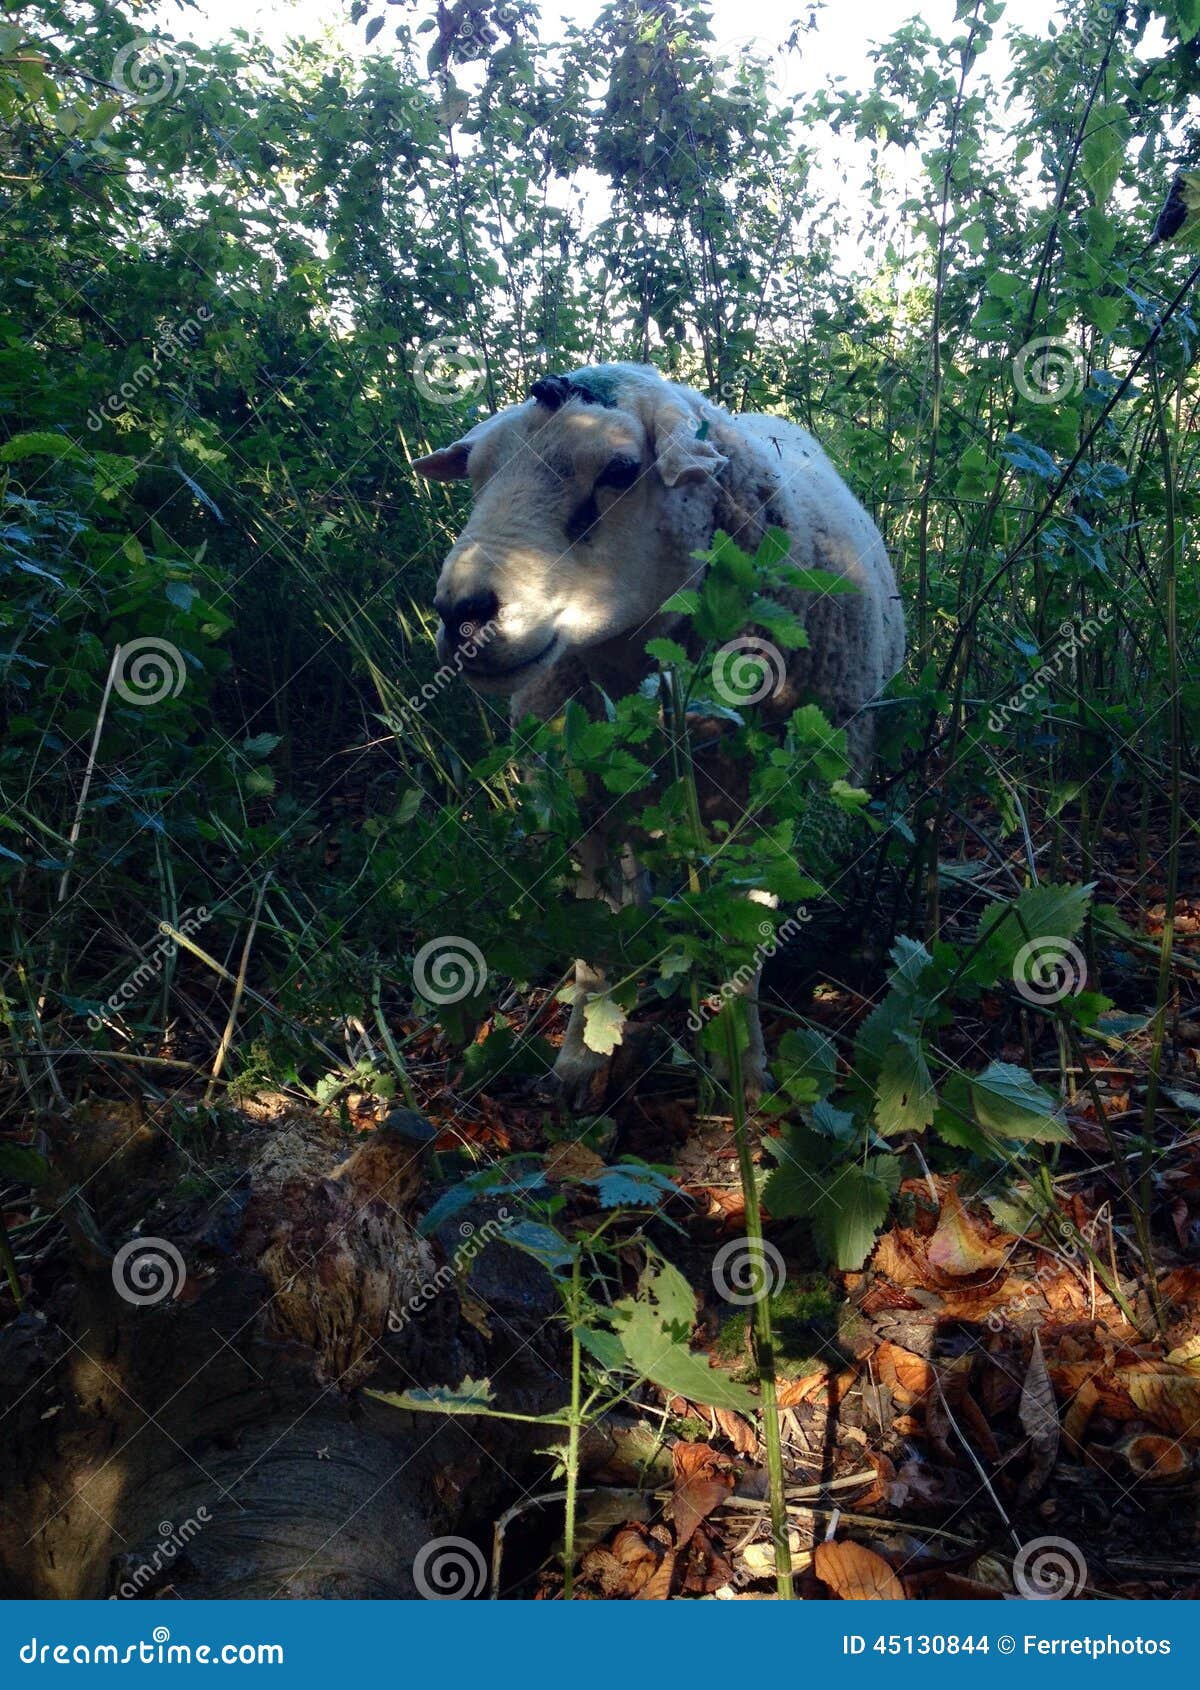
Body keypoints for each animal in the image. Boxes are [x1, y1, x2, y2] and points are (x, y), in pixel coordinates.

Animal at [413, 361, 905, 1106]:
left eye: (619, 469)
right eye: (478, 475)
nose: (462, 613)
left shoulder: (770, 815)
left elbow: (745, 942)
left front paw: (743, 1070)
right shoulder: (580, 805)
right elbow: (595, 941)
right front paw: (579, 1061)